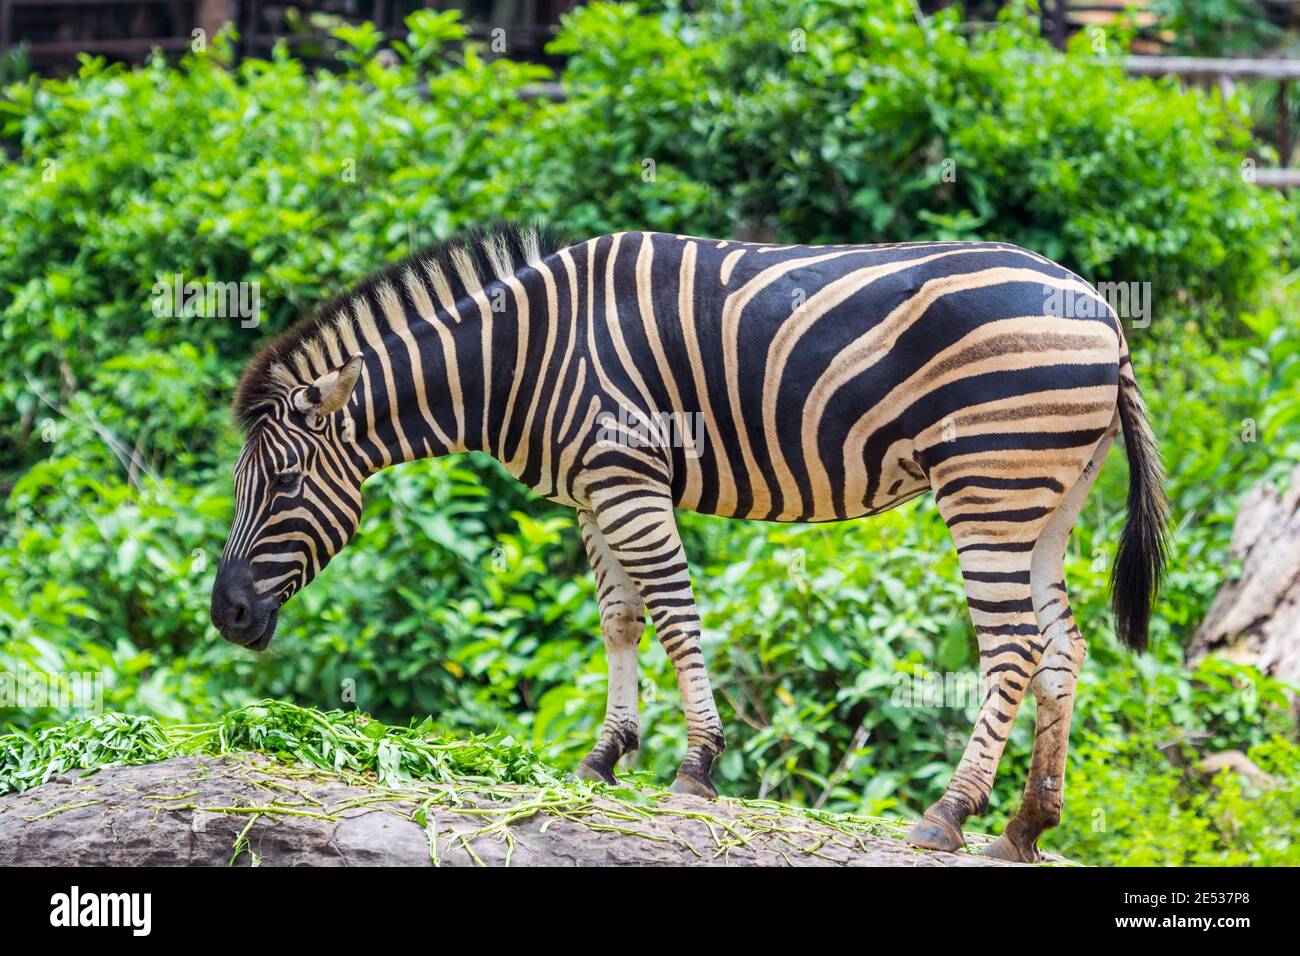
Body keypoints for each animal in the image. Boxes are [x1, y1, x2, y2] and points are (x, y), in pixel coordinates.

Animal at [211, 222, 1167, 862]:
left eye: (285, 486)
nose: (226, 616)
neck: (524, 358)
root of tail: (1102, 311)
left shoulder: (628, 477)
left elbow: (673, 614)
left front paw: (695, 767)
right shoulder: (593, 492)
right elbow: (621, 620)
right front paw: (604, 759)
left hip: (989, 481)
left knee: (1011, 647)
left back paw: (948, 814)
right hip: (1048, 496)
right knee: (1062, 647)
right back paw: (1027, 825)